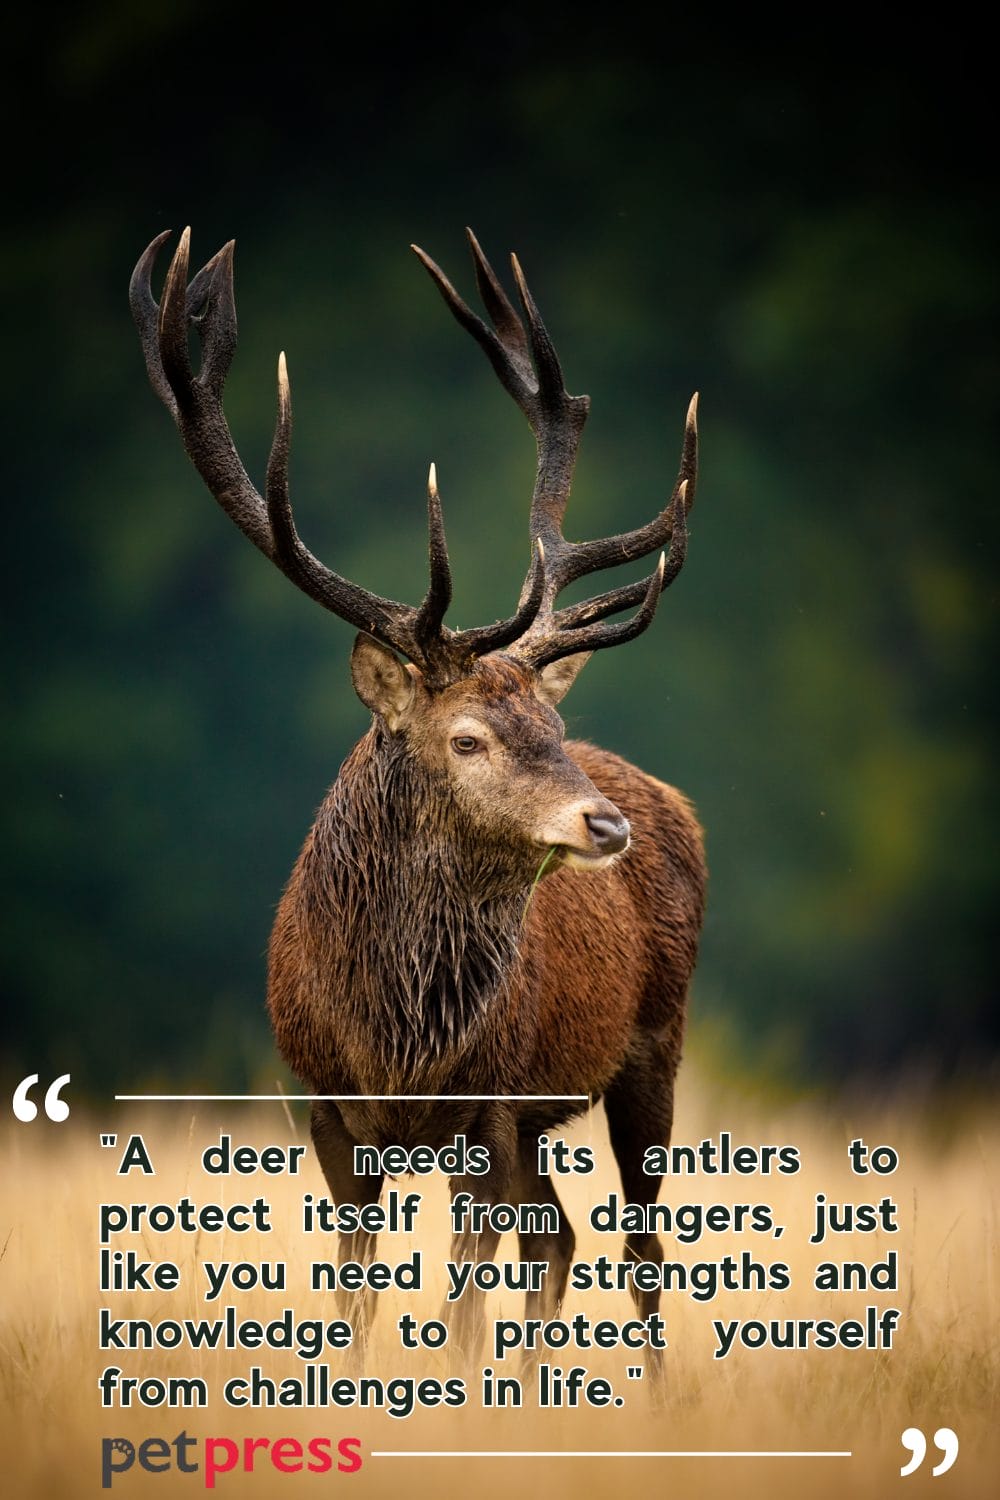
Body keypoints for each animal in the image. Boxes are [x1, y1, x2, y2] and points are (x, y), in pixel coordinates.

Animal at [130, 226, 706, 1364]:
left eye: (553, 732)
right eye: (467, 738)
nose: (603, 823)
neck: (397, 1039)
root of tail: (672, 801)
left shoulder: (490, 1104)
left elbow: (463, 1299)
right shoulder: (323, 1101)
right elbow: (357, 1292)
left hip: (652, 1045)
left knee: (638, 1244)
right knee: (560, 1238)